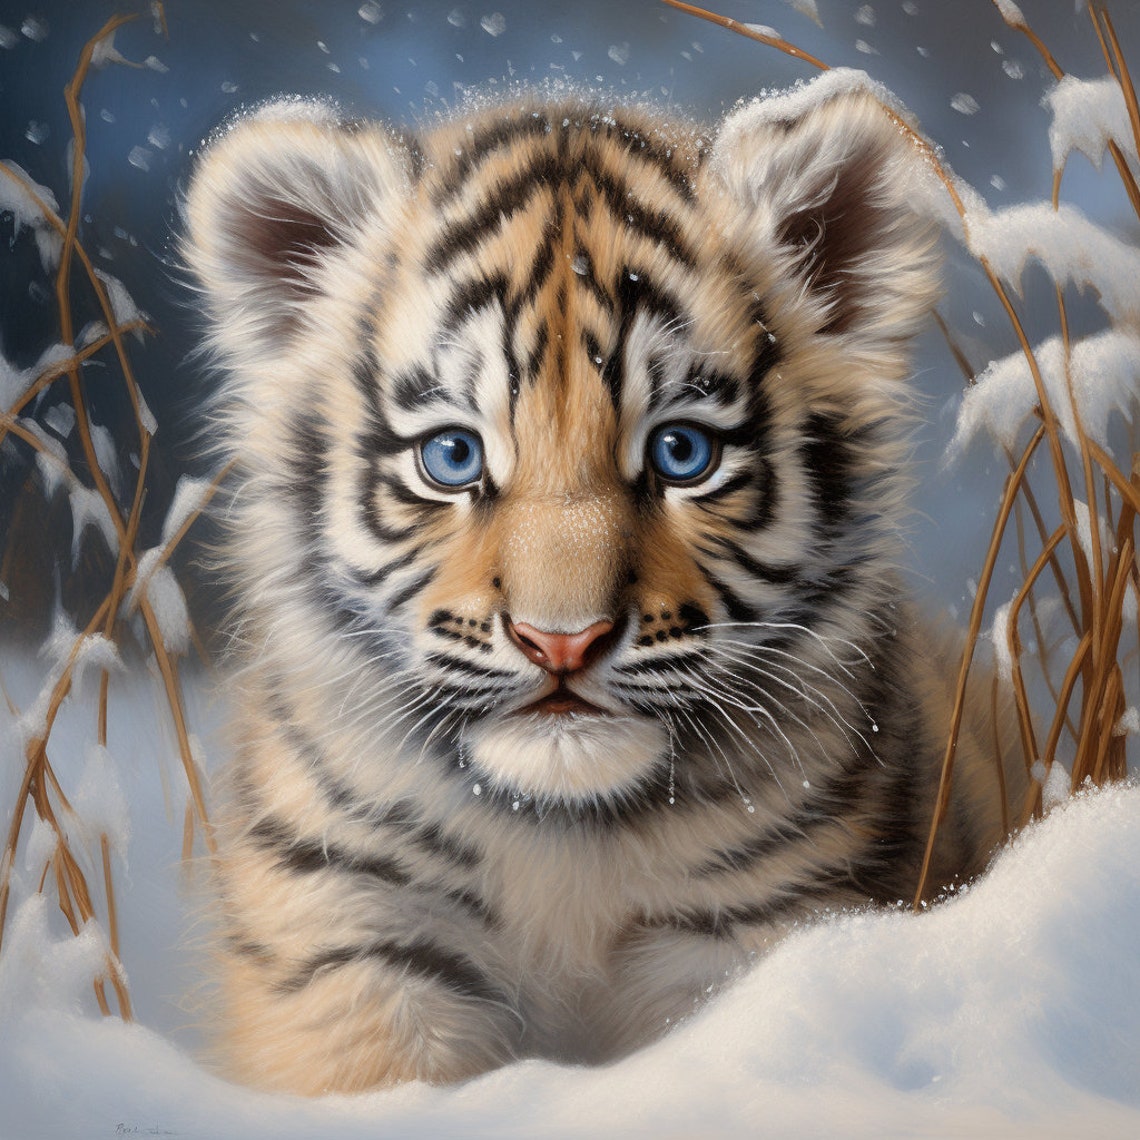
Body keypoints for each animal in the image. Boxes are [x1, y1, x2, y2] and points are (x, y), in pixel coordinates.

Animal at [183, 76, 1024, 1095]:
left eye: (682, 452)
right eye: (452, 457)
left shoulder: (763, 925)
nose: (562, 640)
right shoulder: (353, 936)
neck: (561, 840)